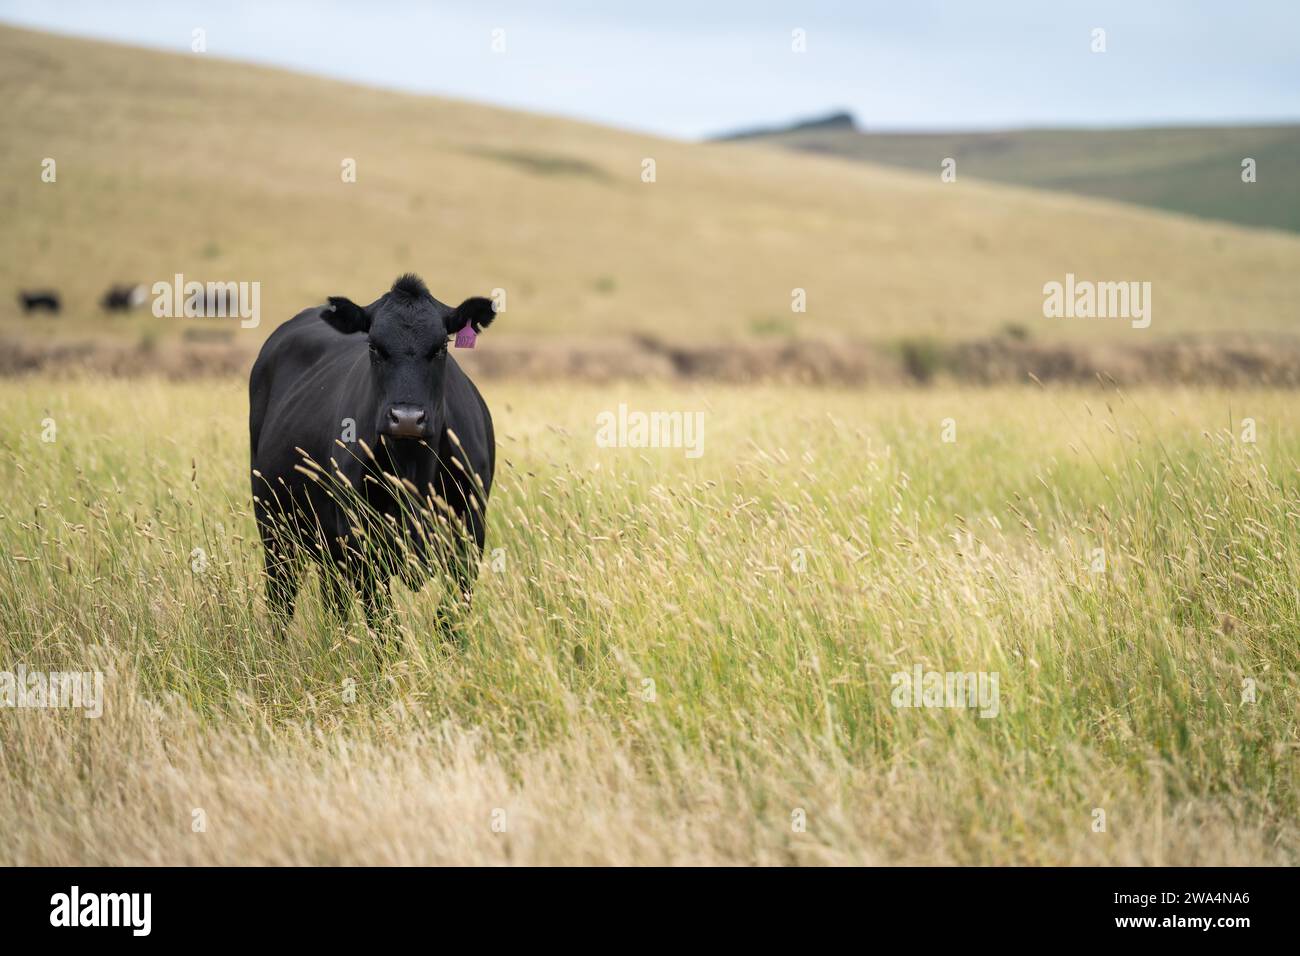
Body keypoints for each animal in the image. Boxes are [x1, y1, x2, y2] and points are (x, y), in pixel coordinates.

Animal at [249, 274, 498, 641]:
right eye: (374, 347)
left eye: (441, 347)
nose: (406, 418)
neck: (412, 470)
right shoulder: (362, 544)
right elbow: (385, 628)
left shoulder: (469, 535)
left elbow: (448, 620)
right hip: (274, 526)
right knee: (282, 598)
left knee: (332, 600)